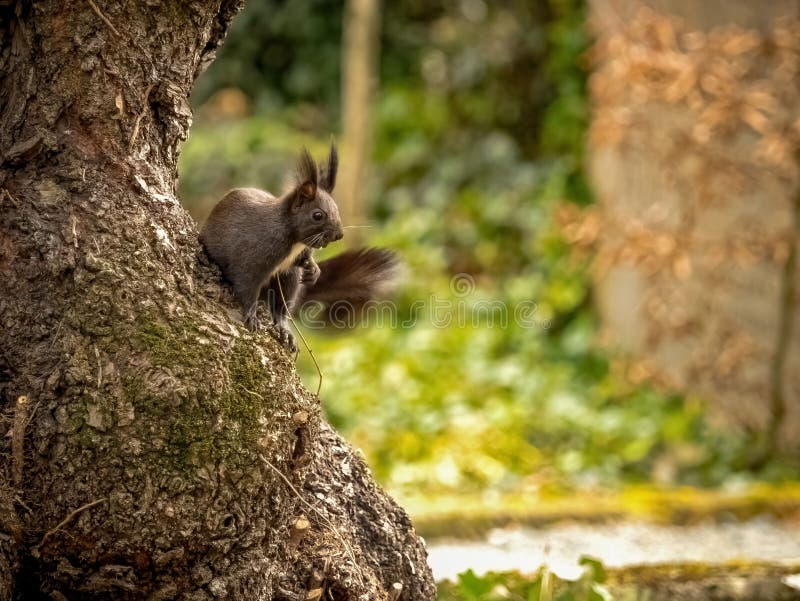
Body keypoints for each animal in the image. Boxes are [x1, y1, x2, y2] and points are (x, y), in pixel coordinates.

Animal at [200, 143, 398, 351]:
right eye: (318, 215)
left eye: (337, 210)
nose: (339, 235)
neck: (293, 238)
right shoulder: (255, 254)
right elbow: (246, 285)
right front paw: (251, 316)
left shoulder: (299, 254)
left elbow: (304, 261)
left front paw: (314, 269)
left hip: (289, 277)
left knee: (281, 307)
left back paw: (284, 329)